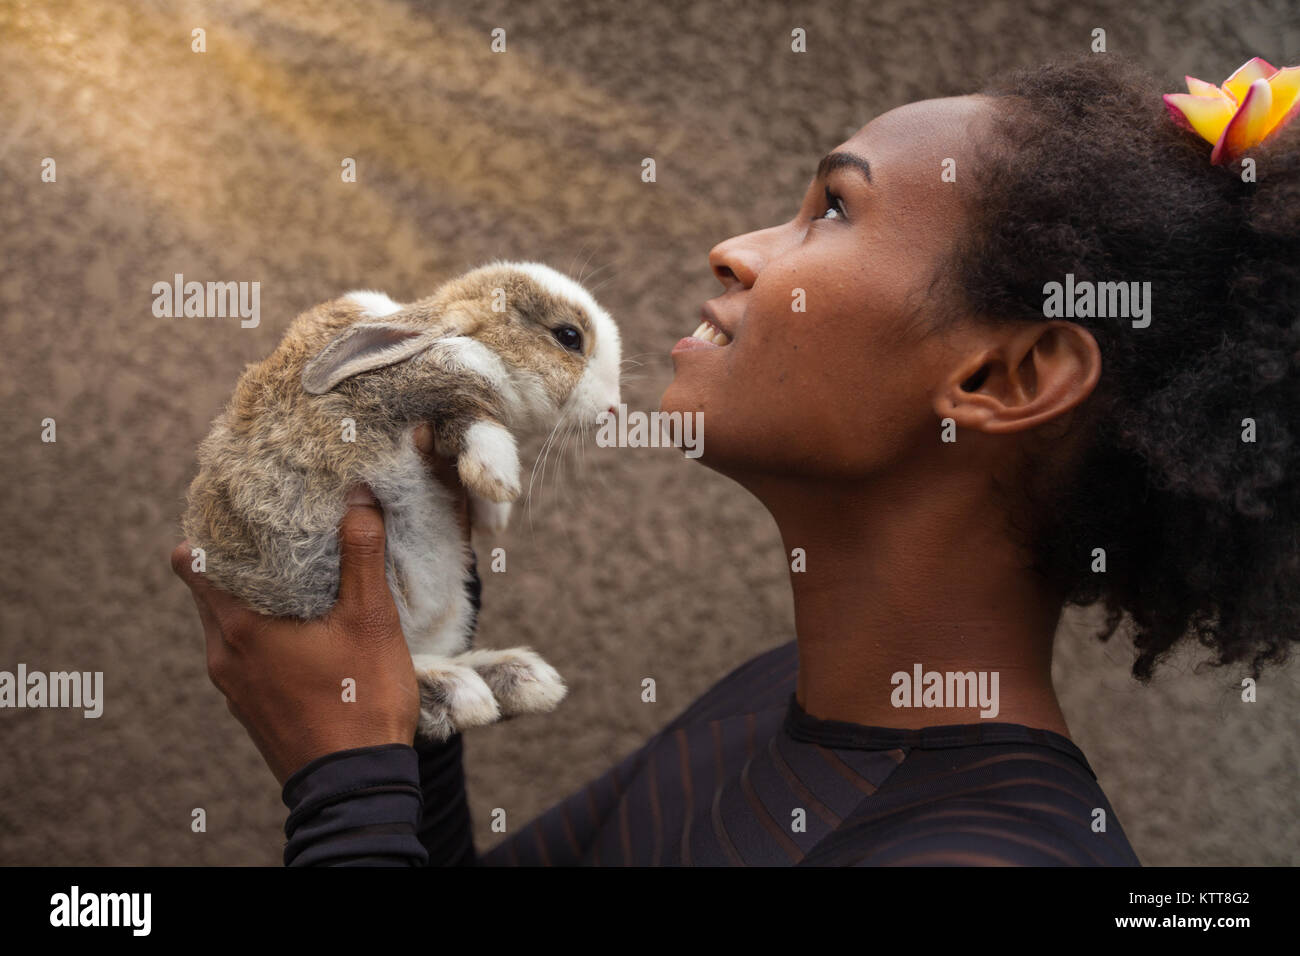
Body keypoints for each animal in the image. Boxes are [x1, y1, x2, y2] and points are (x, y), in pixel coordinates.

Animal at [181, 260, 621, 741]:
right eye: (568, 336)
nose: (614, 409)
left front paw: (494, 509)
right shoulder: (380, 395)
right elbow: (462, 381)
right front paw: (500, 476)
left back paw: (520, 678)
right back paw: (460, 689)